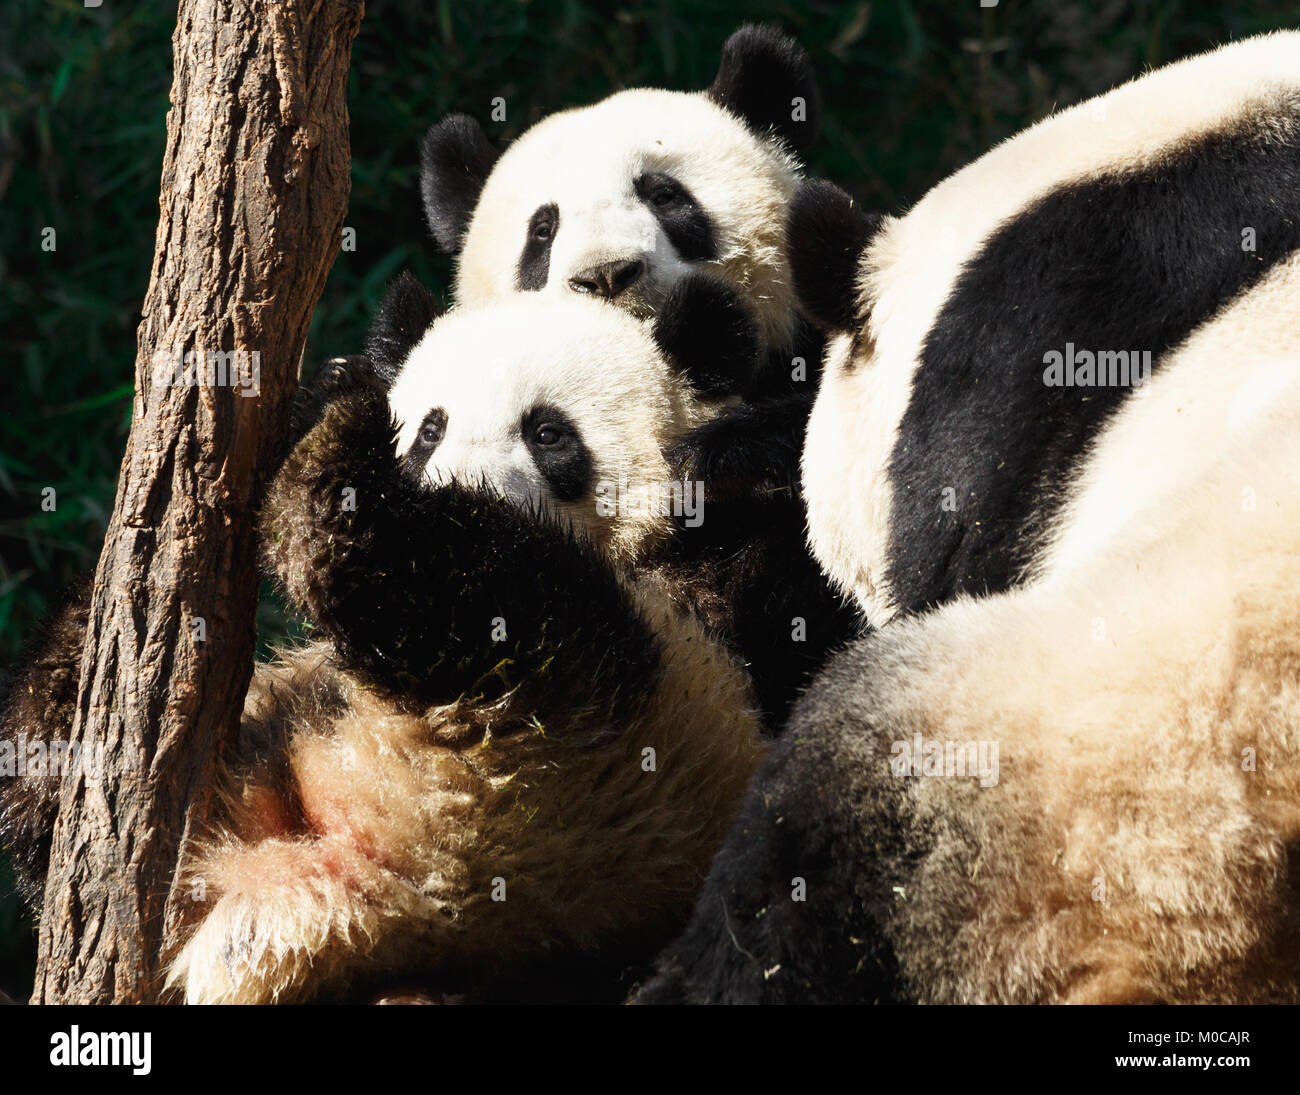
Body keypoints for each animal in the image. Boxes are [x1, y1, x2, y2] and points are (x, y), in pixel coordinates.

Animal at [3, 273, 781, 1004]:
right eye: (430, 428)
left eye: (549, 432)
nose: (454, 484)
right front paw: (334, 389)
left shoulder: (709, 600)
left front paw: (337, 415)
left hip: (604, 750)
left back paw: (338, 449)